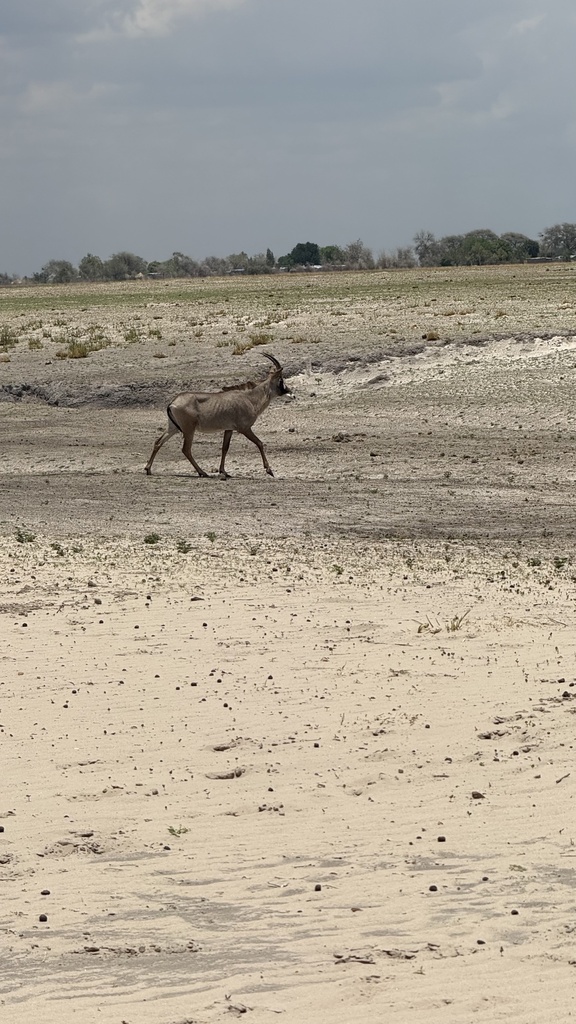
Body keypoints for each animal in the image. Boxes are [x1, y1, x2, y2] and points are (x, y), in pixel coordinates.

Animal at [144, 353, 290, 478]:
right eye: (281, 379)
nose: (290, 392)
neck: (249, 398)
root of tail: (172, 402)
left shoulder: (229, 429)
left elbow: (225, 448)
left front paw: (224, 471)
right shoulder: (244, 429)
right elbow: (260, 443)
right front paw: (269, 470)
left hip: (173, 428)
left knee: (158, 442)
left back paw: (148, 469)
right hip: (188, 430)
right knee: (186, 449)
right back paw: (202, 472)